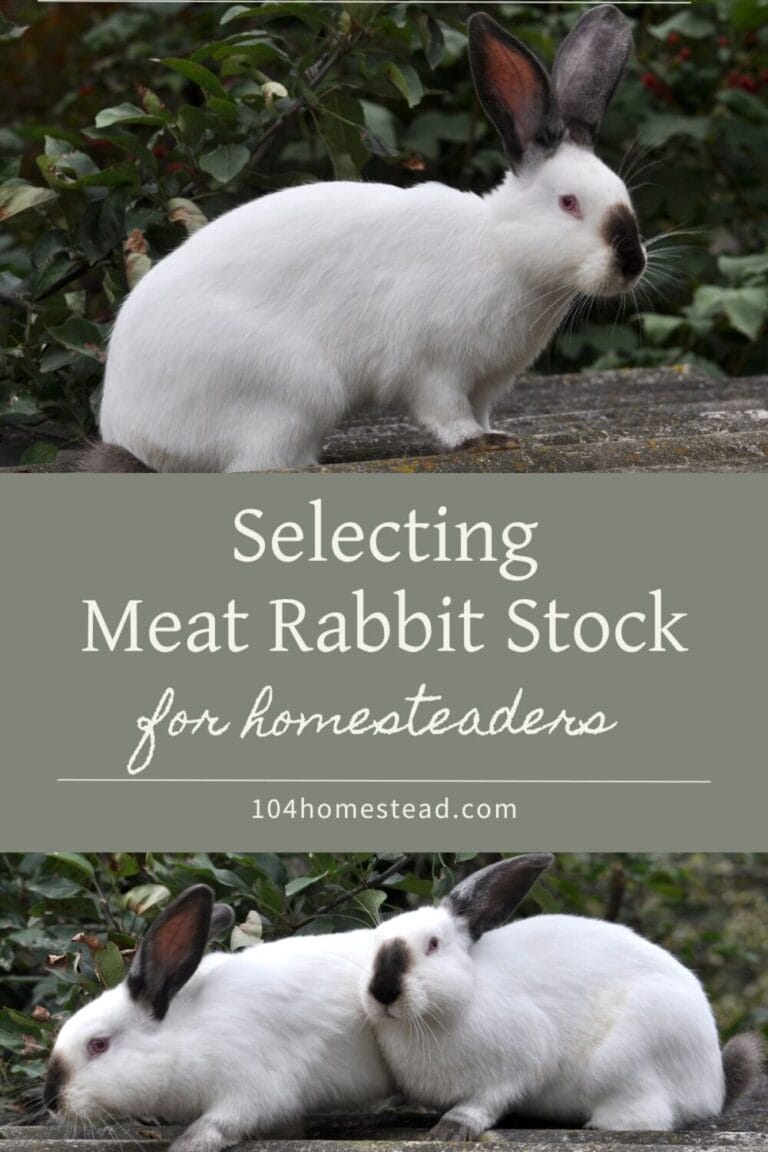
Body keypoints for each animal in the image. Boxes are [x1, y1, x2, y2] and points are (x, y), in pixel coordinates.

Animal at [44, 884, 393, 1152]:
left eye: (98, 1045)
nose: (52, 1103)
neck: (186, 1036)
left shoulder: (252, 1090)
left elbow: (218, 1124)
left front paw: (185, 1144)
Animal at [85, 5, 646, 473]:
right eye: (569, 203)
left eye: (624, 196)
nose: (631, 264)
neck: (504, 250)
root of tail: (132, 435)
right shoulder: (434, 369)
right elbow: (446, 413)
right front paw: (477, 442)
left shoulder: (486, 383)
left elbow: (482, 410)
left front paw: (499, 435)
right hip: (297, 392)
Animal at [361, 855, 764, 1139]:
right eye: (374, 942)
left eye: (432, 945)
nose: (383, 992)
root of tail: (713, 1085)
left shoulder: (518, 1064)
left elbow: (484, 1102)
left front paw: (450, 1129)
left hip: (624, 1063)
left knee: (649, 1117)